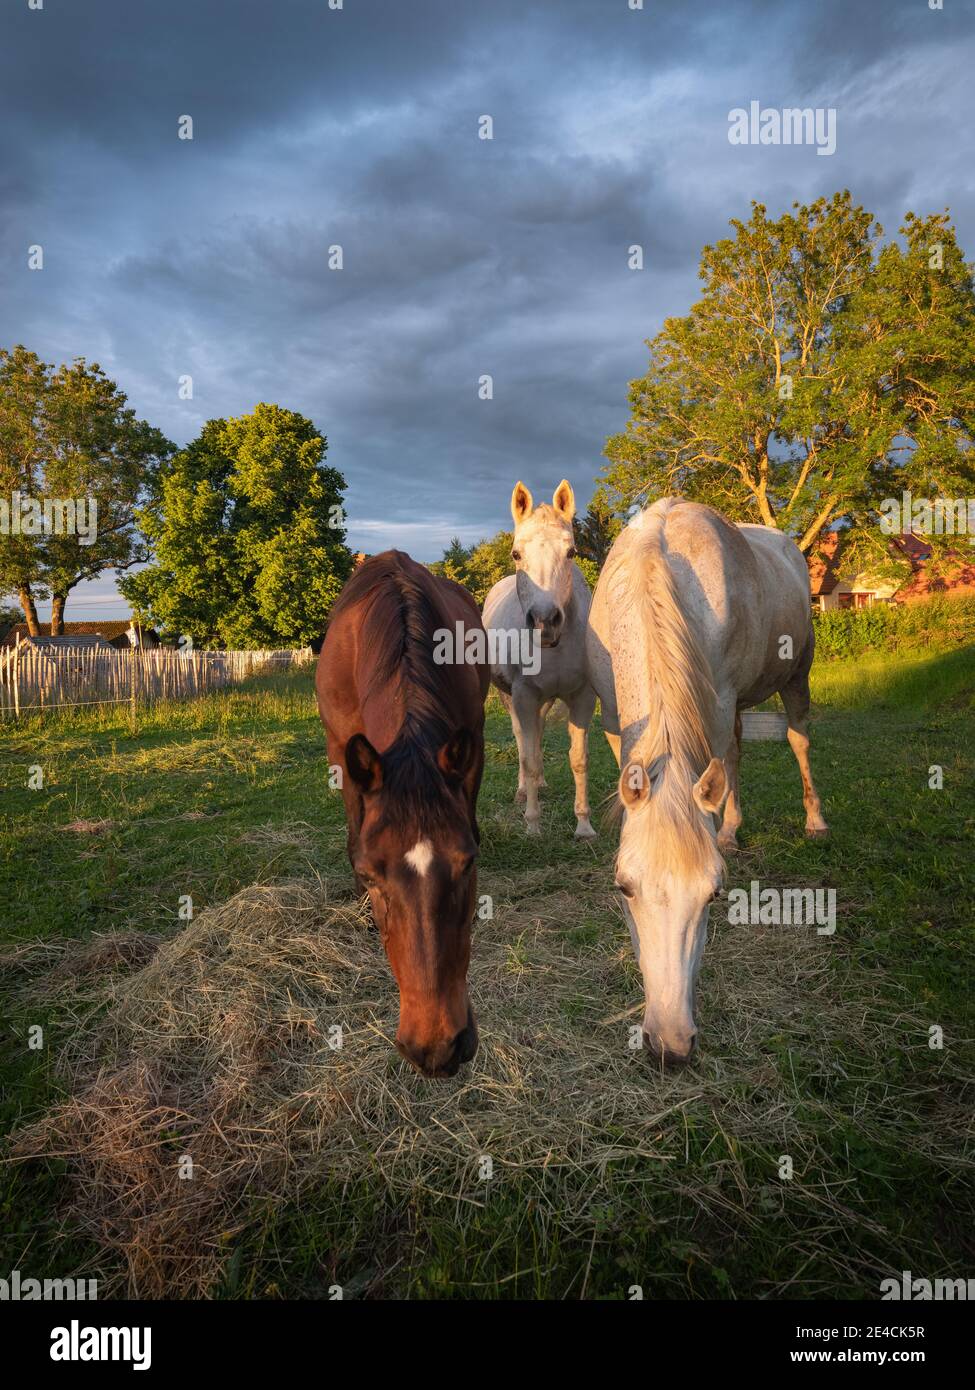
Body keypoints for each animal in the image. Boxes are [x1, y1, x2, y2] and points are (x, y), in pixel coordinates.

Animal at [482, 480, 597, 839]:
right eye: (516, 554)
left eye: (571, 552)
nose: (545, 621)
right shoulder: (524, 695)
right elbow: (528, 756)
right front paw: (533, 824)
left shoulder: (582, 696)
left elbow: (579, 759)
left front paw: (584, 825)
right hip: (510, 696)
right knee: (523, 740)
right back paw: (524, 792)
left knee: (538, 732)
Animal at [586, 498, 828, 1065]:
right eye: (623, 886)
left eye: (715, 894)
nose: (670, 1044)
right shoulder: (615, 720)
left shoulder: (716, 704)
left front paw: (723, 840)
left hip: (795, 675)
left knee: (797, 741)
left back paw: (814, 821)